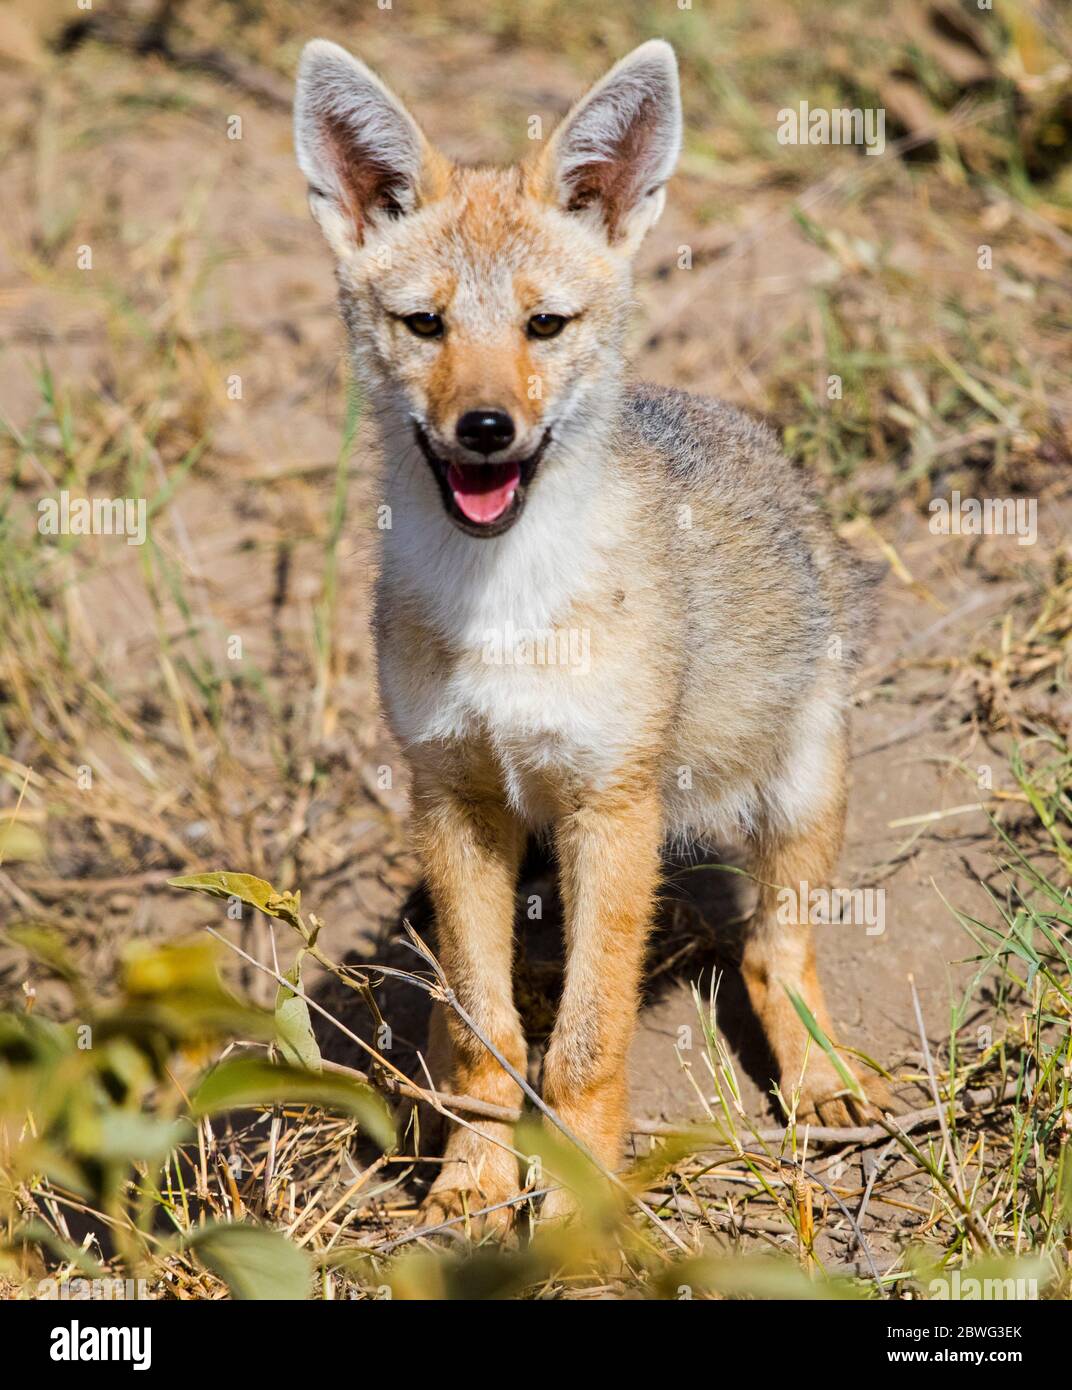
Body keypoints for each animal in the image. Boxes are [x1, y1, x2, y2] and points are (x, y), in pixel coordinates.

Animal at [293, 37, 889, 1228]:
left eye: (544, 325)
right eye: (425, 325)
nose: (486, 428)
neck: (505, 608)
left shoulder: (612, 809)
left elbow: (584, 1044)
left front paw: (572, 1209)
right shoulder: (455, 800)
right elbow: (483, 1034)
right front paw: (475, 1180)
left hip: (800, 791)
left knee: (772, 951)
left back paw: (820, 1077)